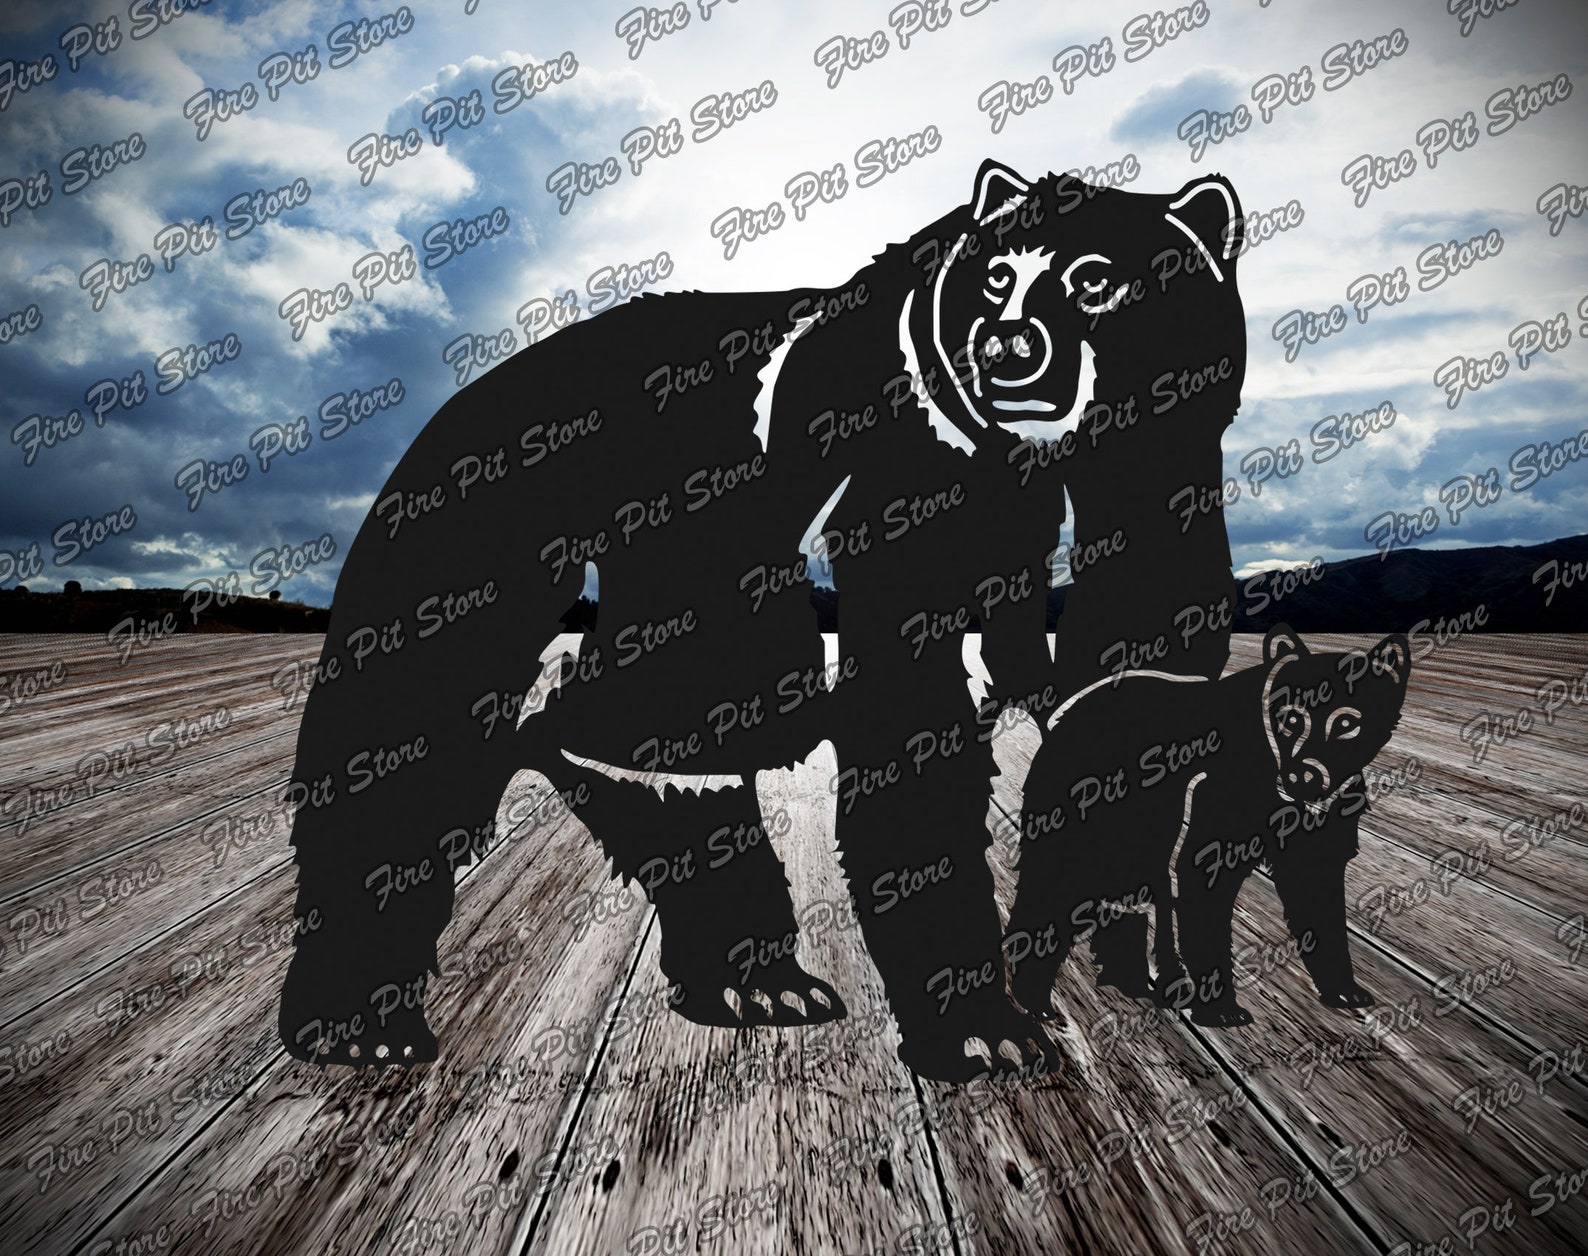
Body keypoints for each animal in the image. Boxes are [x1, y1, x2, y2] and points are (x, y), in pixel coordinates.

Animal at [275, 159, 1247, 1082]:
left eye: (1094, 278)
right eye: (997, 275)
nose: (1008, 345)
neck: (1038, 462)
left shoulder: (1165, 476)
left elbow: (1131, 686)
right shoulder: (899, 484)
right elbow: (915, 738)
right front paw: (986, 1032)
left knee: (660, 767)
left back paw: (762, 979)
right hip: (480, 537)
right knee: (402, 749)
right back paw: (359, 1022)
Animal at [1005, 624, 1409, 1027]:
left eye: (1347, 721)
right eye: (1292, 717)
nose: (1304, 775)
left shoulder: (1323, 821)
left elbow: (1318, 893)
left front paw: (1344, 988)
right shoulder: (1222, 794)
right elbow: (1206, 887)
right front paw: (1222, 1007)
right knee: (1050, 883)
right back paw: (1037, 997)